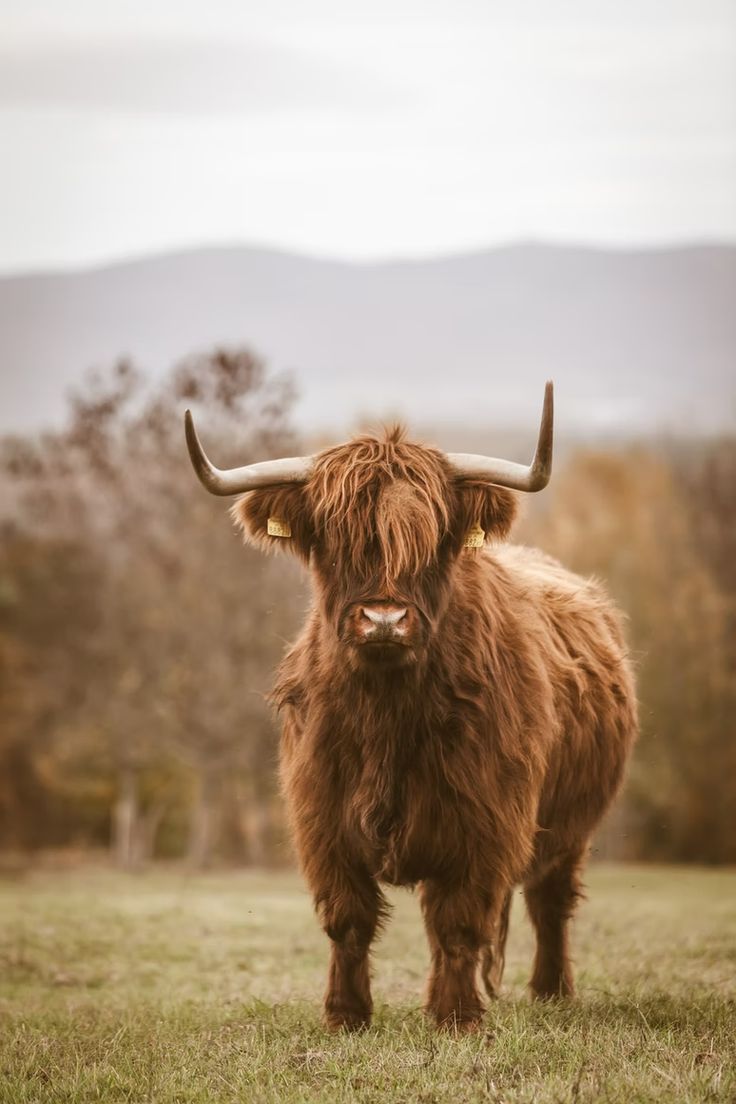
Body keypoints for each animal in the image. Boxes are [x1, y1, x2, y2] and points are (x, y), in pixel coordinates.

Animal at [184, 383, 637, 1032]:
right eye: (334, 539)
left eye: (434, 540)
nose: (383, 619)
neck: (386, 714)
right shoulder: (322, 817)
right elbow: (348, 920)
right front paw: (345, 1015)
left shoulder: (485, 819)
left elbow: (460, 920)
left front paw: (456, 1017)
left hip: (571, 824)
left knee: (549, 901)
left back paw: (551, 992)